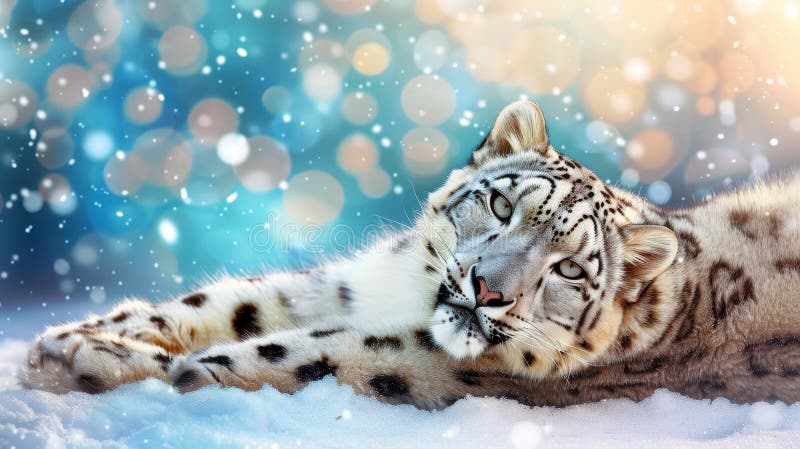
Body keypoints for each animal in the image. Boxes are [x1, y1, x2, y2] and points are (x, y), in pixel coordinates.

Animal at [21, 100, 800, 410]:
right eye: (502, 205)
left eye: (571, 268)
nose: (488, 289)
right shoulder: (340, 284)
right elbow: (232, 303)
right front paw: (74, 336)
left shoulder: (425, 361)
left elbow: (296, 353)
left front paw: (90, 360)